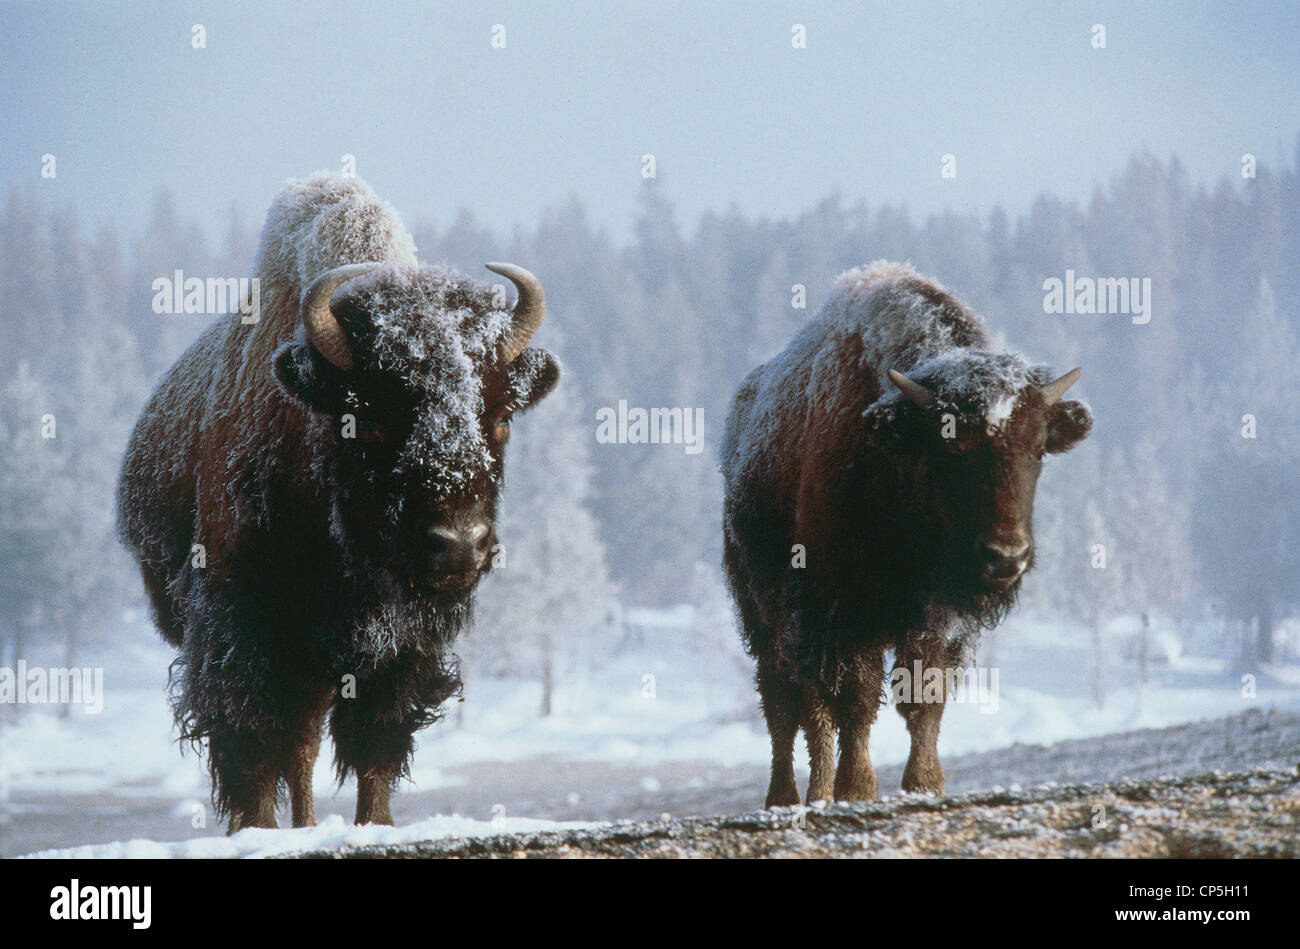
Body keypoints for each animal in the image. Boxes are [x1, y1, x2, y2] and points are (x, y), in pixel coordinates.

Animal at [117, 174, 560, 831]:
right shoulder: (243, 636)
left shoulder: (398, 652)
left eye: (502, 417)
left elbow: (375, 748)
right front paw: (258, 831)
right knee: (290, 749)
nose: (459, 546)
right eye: (367, 419)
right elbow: (252, 752)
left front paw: (375, 825)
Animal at [720, 261, 1091, 807]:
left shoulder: (937, 620)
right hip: (763, 612)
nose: (1006, 557)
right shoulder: (842, 613)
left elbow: (924, 697)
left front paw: (925, 783)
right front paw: (858, 788)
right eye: (951, 447)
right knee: (788, 703)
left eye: (1039, 449)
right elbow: (855, 700)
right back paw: (790, 796)